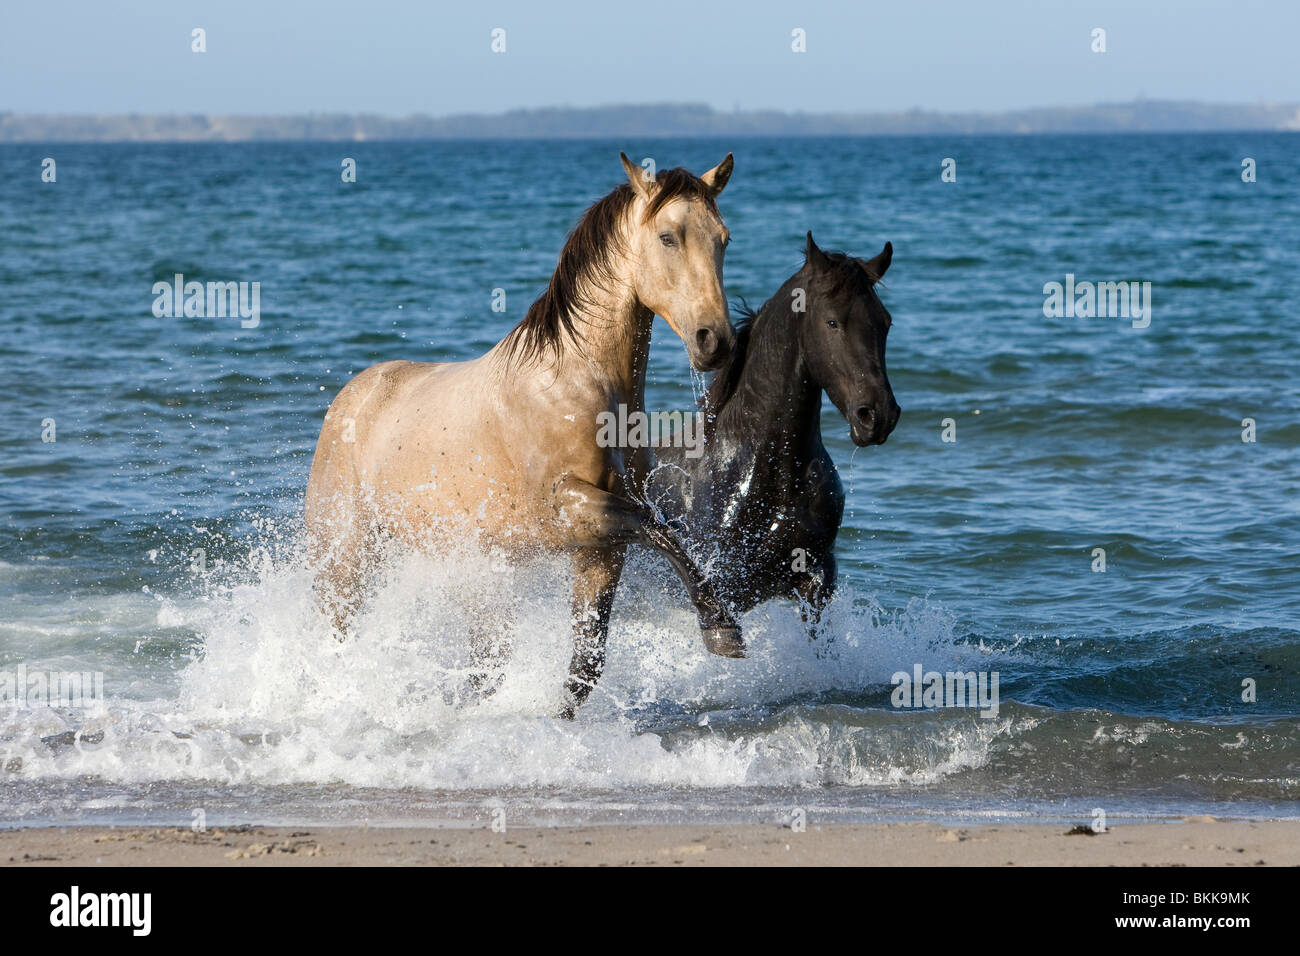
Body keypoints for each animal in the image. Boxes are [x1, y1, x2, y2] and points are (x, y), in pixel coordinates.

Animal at [299, 151, 738, 717]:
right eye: (668, 237)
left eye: (723, 238)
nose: (715, 342)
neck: (577, 383)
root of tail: (351, 397)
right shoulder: (566, 508)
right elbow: (658, 528)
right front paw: (721, 628)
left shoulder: (599, 548)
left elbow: (586, 661)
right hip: (347, 561)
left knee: (486, 661)